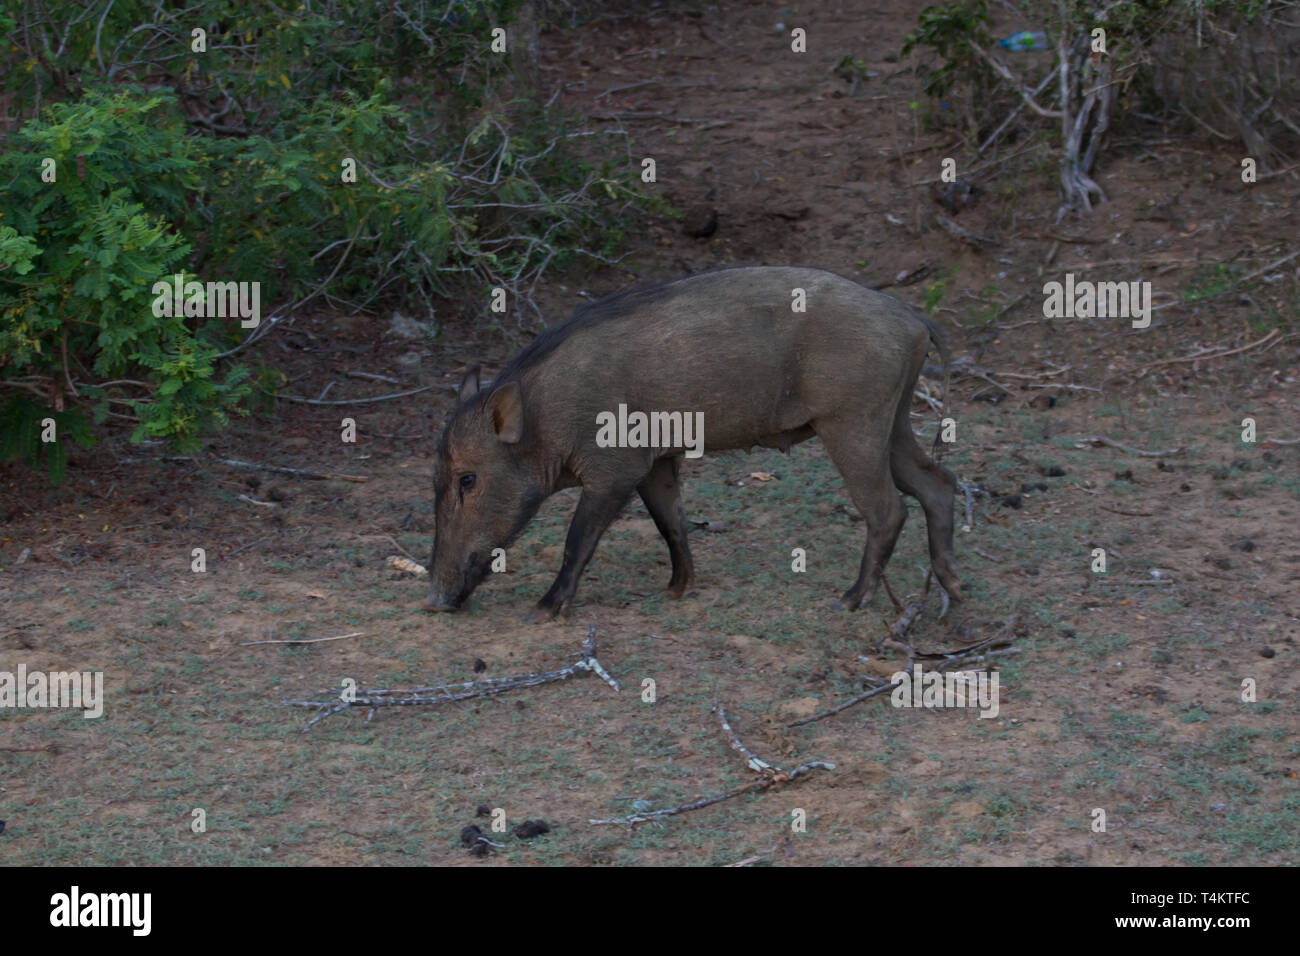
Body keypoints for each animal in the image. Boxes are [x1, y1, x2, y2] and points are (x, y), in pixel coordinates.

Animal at [423, 266, 961, 619]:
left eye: (467, 479)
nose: (434, 600)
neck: (544, 419)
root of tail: (913, 320)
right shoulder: (656, 463)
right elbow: (672, 524)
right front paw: (677, 592)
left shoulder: (614, 470)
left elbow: (578, 541)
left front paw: (543, 610)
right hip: (892, 421)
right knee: (939, 484)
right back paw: (952, 591)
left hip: (853, 424)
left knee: (888, 510)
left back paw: (849, 600)